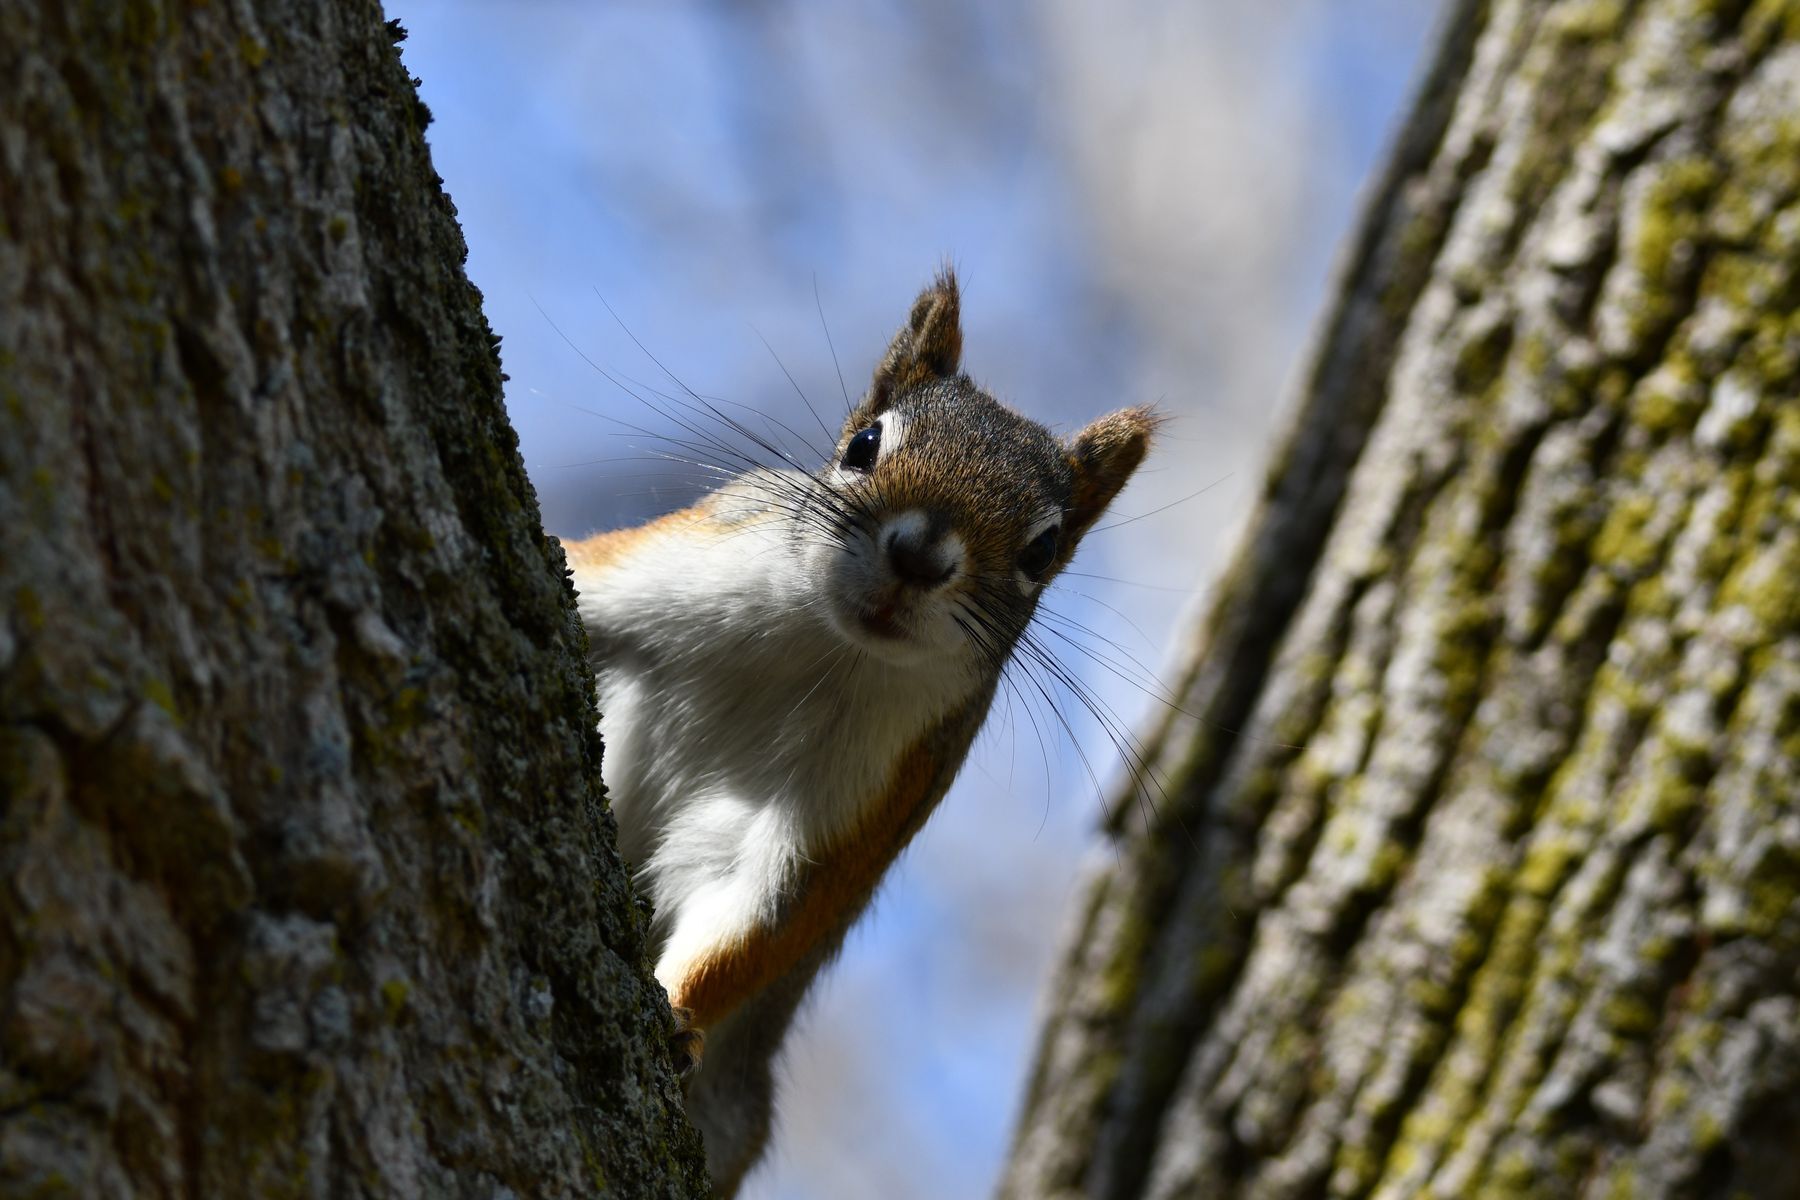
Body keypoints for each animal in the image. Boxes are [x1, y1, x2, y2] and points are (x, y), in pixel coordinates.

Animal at [564, 270, 1154, 1195]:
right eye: (865, 443)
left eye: (1044, 547)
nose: (918, 557)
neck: (828, 650)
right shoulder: (675, 563)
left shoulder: (867, 793)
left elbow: (757, 912)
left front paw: (680, 1011)